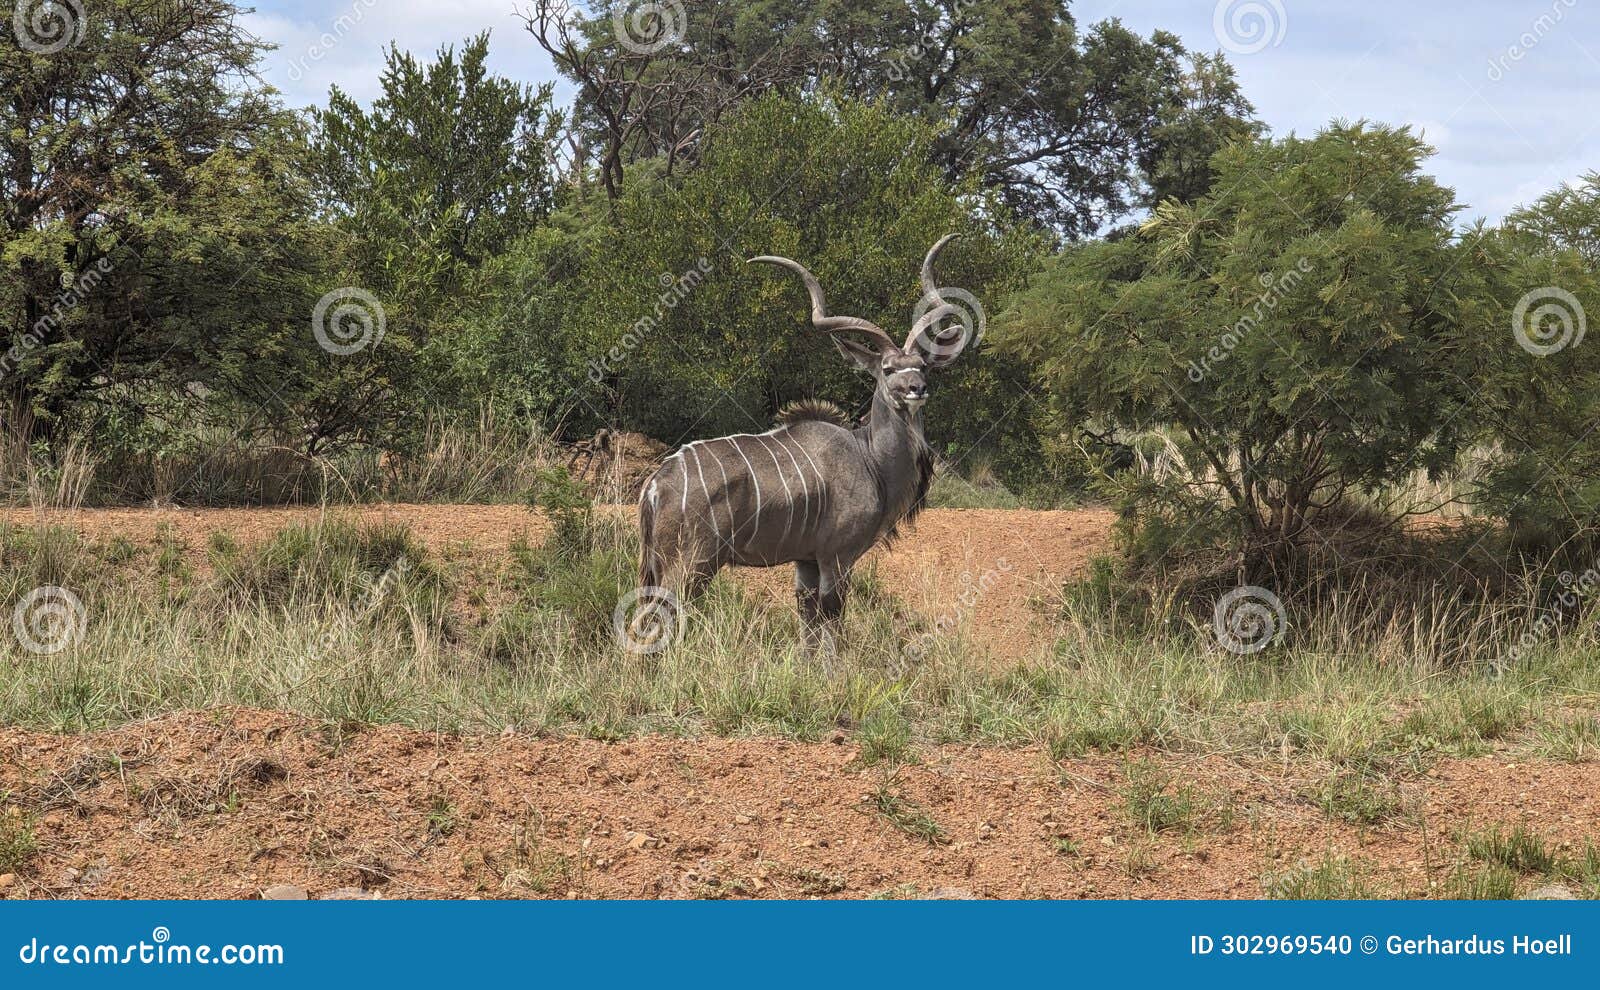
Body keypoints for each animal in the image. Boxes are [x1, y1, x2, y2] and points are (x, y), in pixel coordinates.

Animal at [631, 236, 971, 655]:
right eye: (888, 369)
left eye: (922, 366)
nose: (916, 389)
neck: (870, 458)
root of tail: (655, 485)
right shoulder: (836, 556)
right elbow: (831, 621)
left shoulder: (806, 561)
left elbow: (808, 623)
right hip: (691, 564)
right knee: (658, 620)